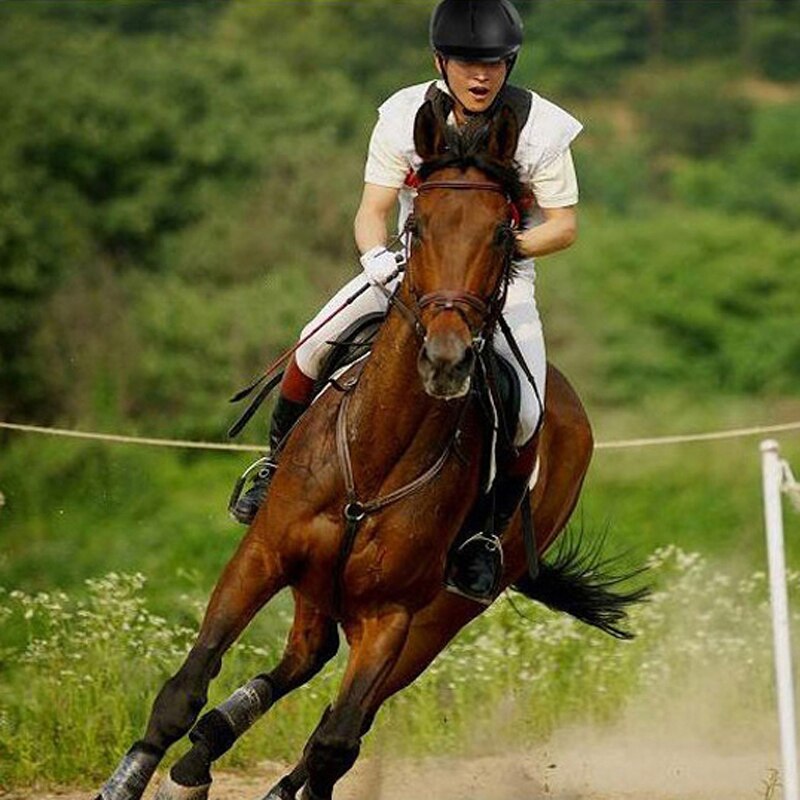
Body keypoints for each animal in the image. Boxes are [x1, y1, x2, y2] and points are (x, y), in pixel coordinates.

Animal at [95, 101, 645, 800]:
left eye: (502, 235)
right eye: (419, 228)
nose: (446, 360)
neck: (379, 458)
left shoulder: (392, 617)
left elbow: (336, 740)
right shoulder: (264, 553)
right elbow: (185, 687)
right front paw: (131, 778)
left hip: (438, 619)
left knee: (342, 710)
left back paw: (226, 756)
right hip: (319, 582)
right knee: (305, 656)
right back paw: (206, 747)